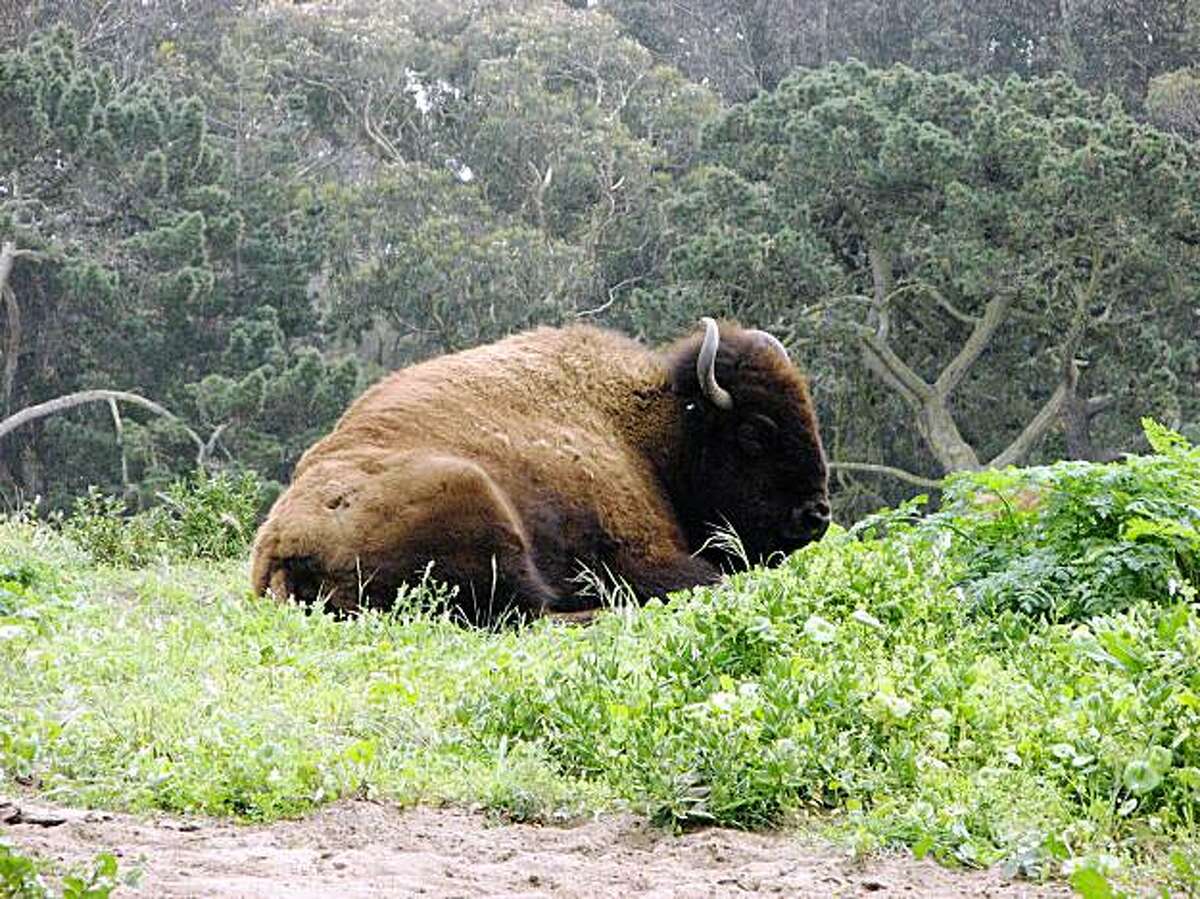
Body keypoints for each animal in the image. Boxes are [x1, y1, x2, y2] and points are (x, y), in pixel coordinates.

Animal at [250, 318, 830, 625]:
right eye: (755, 432)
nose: (816, 515)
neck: (649, 429)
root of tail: (281, 543)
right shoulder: (645, 553)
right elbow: (704, 579)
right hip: (476, 497)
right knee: (530, 611)